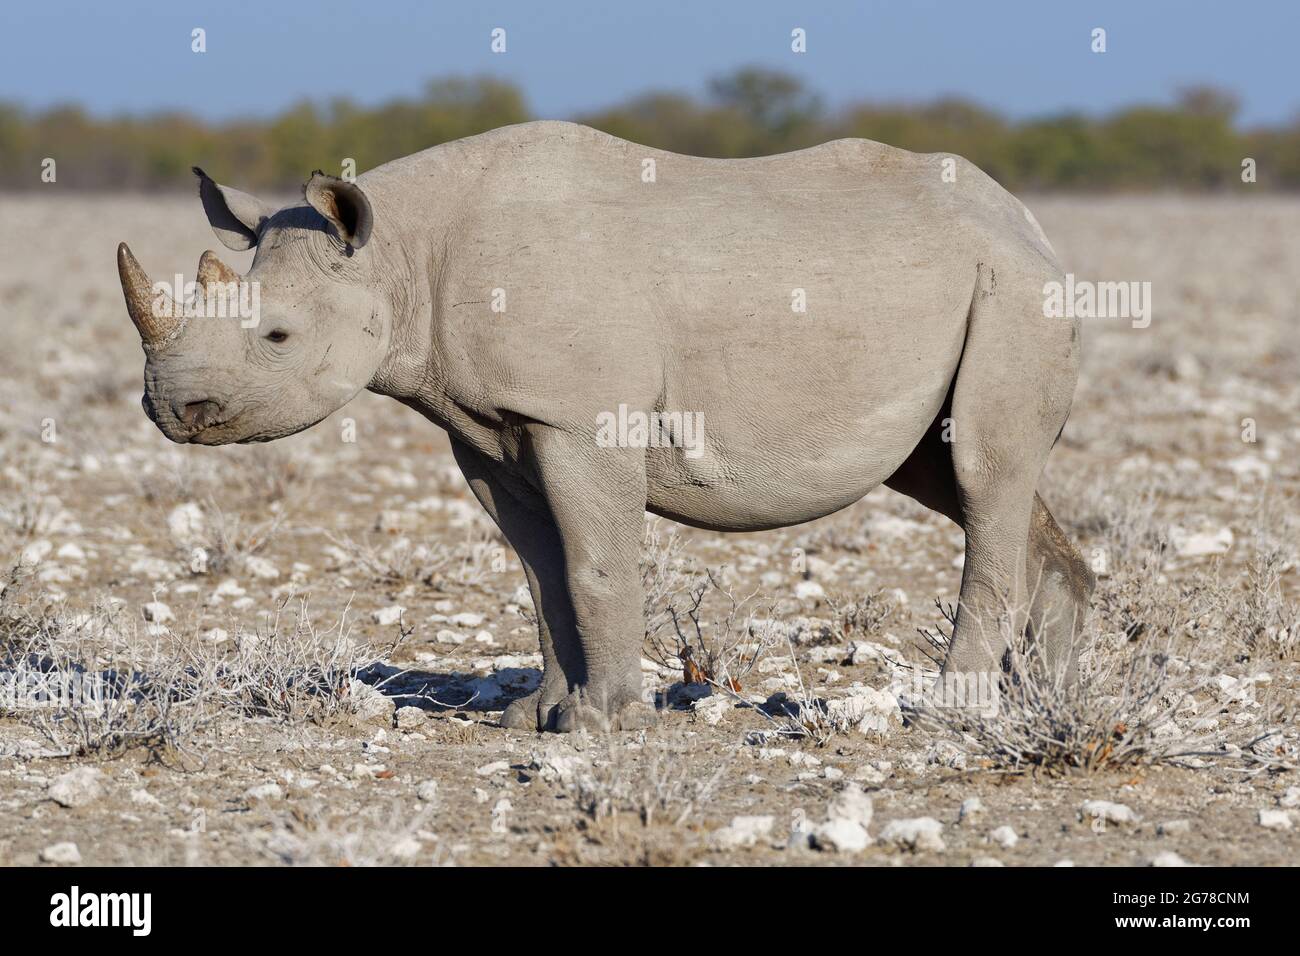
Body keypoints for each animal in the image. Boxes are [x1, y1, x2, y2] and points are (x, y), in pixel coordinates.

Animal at [117, 120, 1095, 732]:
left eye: (277, 338)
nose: (171, 412)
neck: (398, 255)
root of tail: (1028, 222)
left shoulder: (577, 418)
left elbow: (594, 563)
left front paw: (600, 722)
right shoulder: (489, 427)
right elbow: (542, 574)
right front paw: (533, 716)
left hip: (1011, 289)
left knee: (982, 471)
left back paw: (952, 711)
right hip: (979, 288)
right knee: (957, 477)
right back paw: (1044, 697)